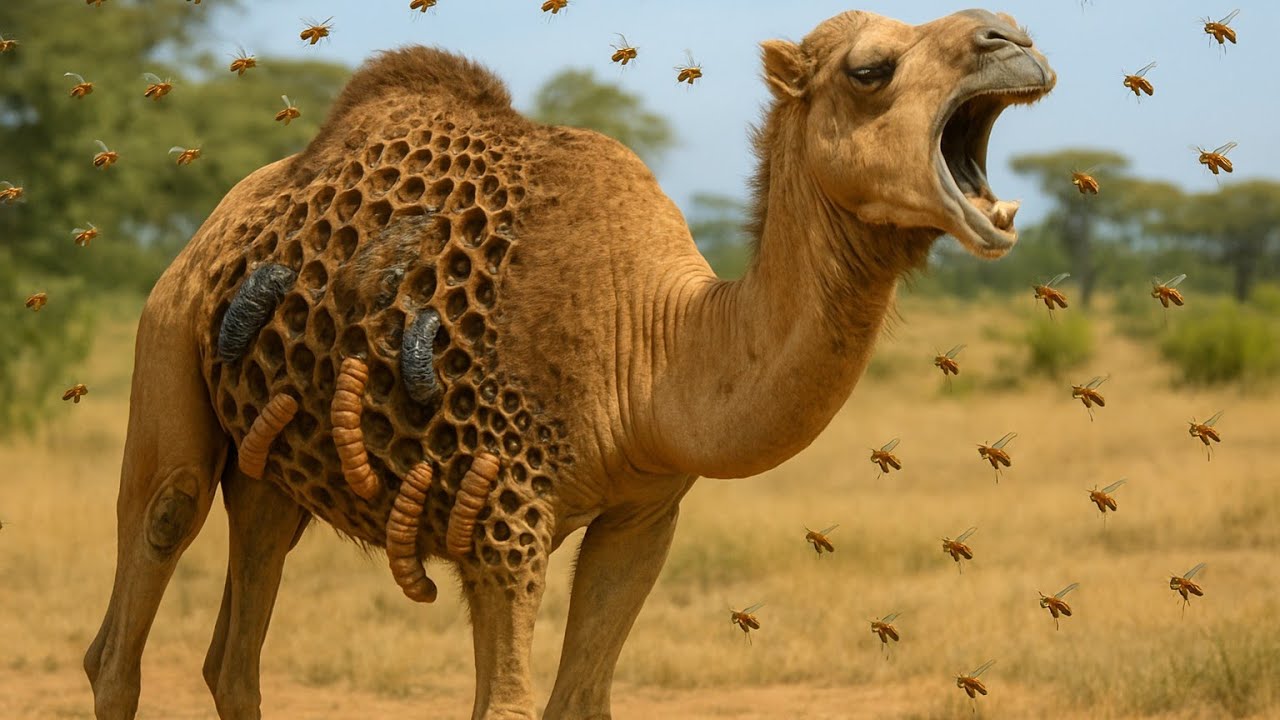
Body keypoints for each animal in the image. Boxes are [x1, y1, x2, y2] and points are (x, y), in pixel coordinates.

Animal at [83, 9, 1054, 719]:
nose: (1012, 35)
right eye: (869, 70)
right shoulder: (502, 518)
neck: (652, 348)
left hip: (272, 466)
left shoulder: (644, 514)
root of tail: (217, 224)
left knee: (235, 649)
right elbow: (506, 705)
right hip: (166, 342)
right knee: (143, 573)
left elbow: (582, 699)